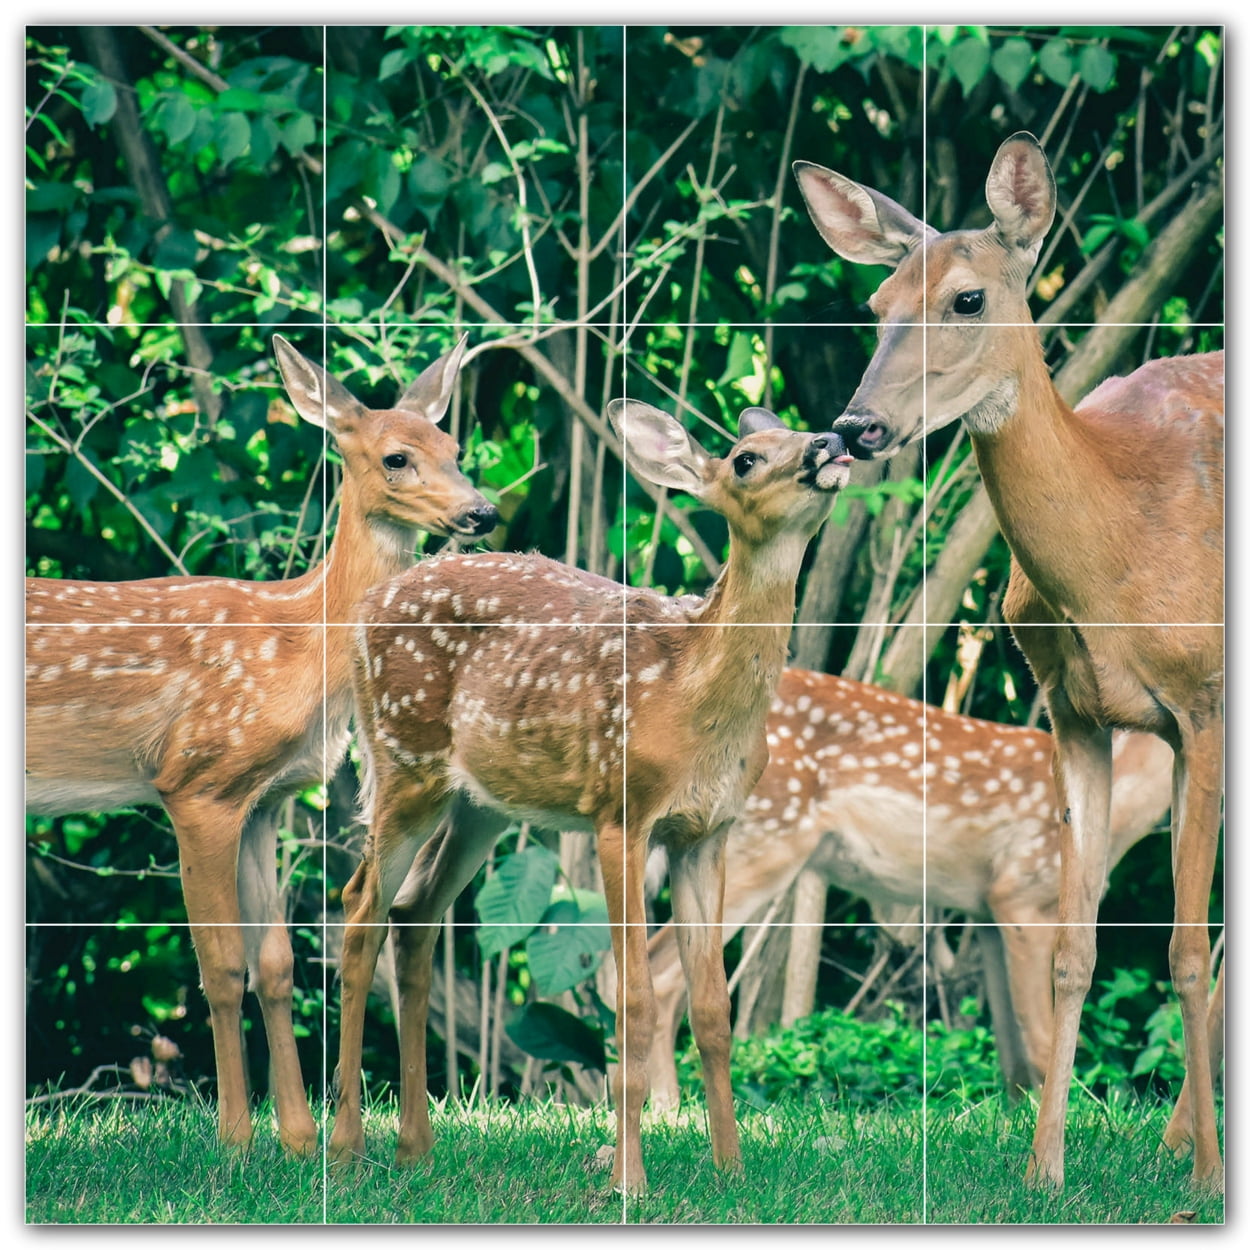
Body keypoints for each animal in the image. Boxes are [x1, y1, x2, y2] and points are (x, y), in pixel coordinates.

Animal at [25, 335, 499, 1157]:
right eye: (397, 458)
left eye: (456, 449)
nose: (482, 511)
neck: (296, 645)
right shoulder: (195, 782)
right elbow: (220, 966)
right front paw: (236, 1143)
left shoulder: (267, 796)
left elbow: (275, 964)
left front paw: (300, 1140)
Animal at [330, 399, 853, 1191]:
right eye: (746, 459)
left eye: (800, 428)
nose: (831, 440)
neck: (692, 697)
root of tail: (362, 611)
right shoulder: (619, 811)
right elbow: (633, 999)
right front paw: (627, 1179)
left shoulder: (709, 830)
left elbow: (712, 1010)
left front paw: (731, 1170)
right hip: (402, 758)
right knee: (359, 907)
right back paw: (345, 1148)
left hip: (478, 803)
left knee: (414, 912)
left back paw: (415, 1149)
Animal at [644, 666, 1176, 1110]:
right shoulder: (1024, 891)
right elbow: (1041, 1041)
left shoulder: (985, 910)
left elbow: (1010, 1052)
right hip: (762, 843)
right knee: (662, 973)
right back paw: (670, 1110)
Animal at [793, 132, 1224, 1189]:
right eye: (877, 303)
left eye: (967, 299)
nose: (857, 428)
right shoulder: (1075, 712)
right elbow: (1074, 952)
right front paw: (1046, 1169)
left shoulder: (1202, 704)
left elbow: (1184, 949)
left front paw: (1206, 1180)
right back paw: (1171, 1137)